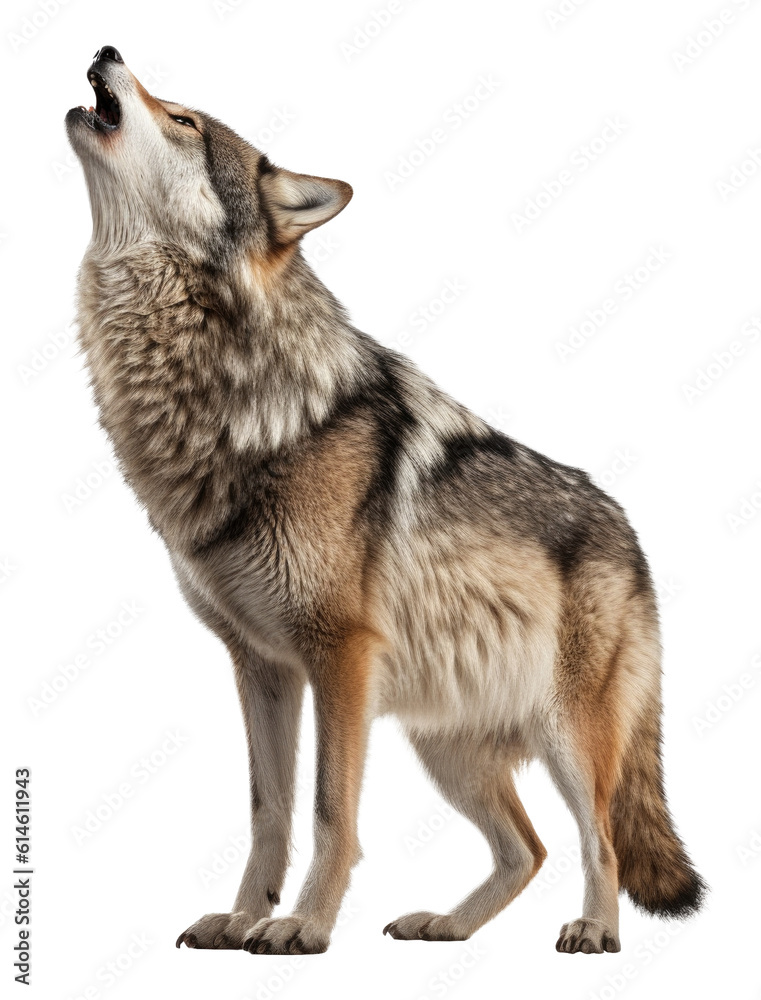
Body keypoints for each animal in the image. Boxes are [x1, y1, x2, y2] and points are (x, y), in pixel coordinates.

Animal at [66, 46, 705, 956]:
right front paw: (243, 917)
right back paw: (445, 924)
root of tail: (631, 534)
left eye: (183, 119)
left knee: (600, 841)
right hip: (444, 749)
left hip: (566, 738)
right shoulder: (261, 667)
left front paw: (303, 926)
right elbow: (268, 810)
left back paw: (593, 931)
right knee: (527, 849)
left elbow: (331, 809)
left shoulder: (339, 656)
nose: (106, 52)